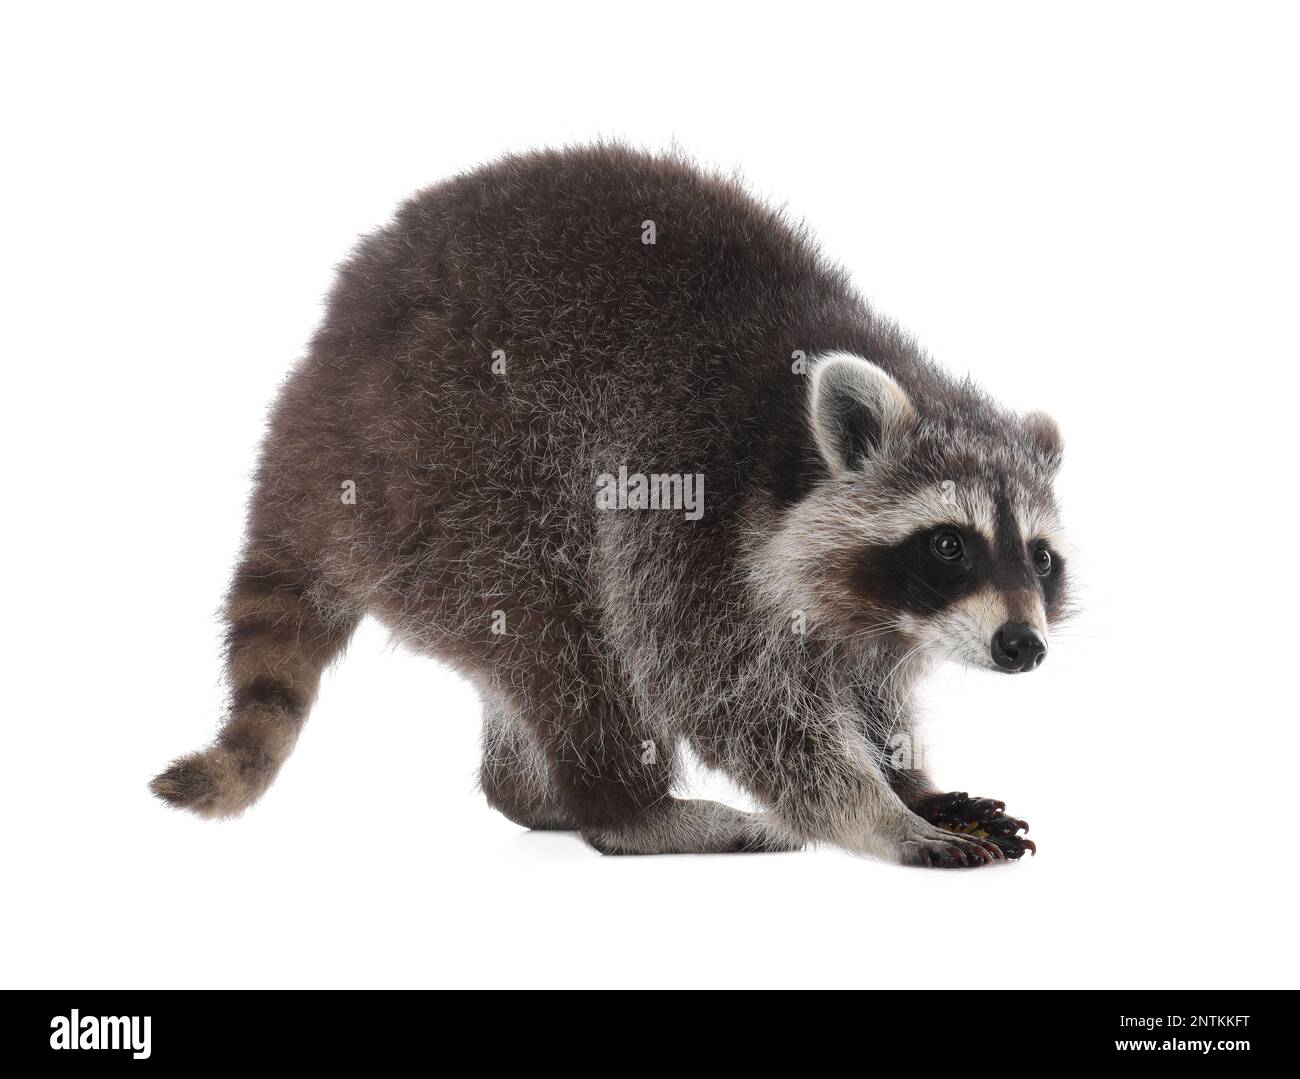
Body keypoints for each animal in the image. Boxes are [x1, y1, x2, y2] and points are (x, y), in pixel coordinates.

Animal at [151, 144, 1070, 867]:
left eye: (1041, 556)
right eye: (948, 544)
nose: (1023, 646)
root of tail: (307, 408)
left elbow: (866, 686)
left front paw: (911, 780)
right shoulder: (681, 500)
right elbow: (726, 695)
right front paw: (875, 811)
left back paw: (534, 792)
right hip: (443, 479)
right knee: (570, 633)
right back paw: (625, 807)